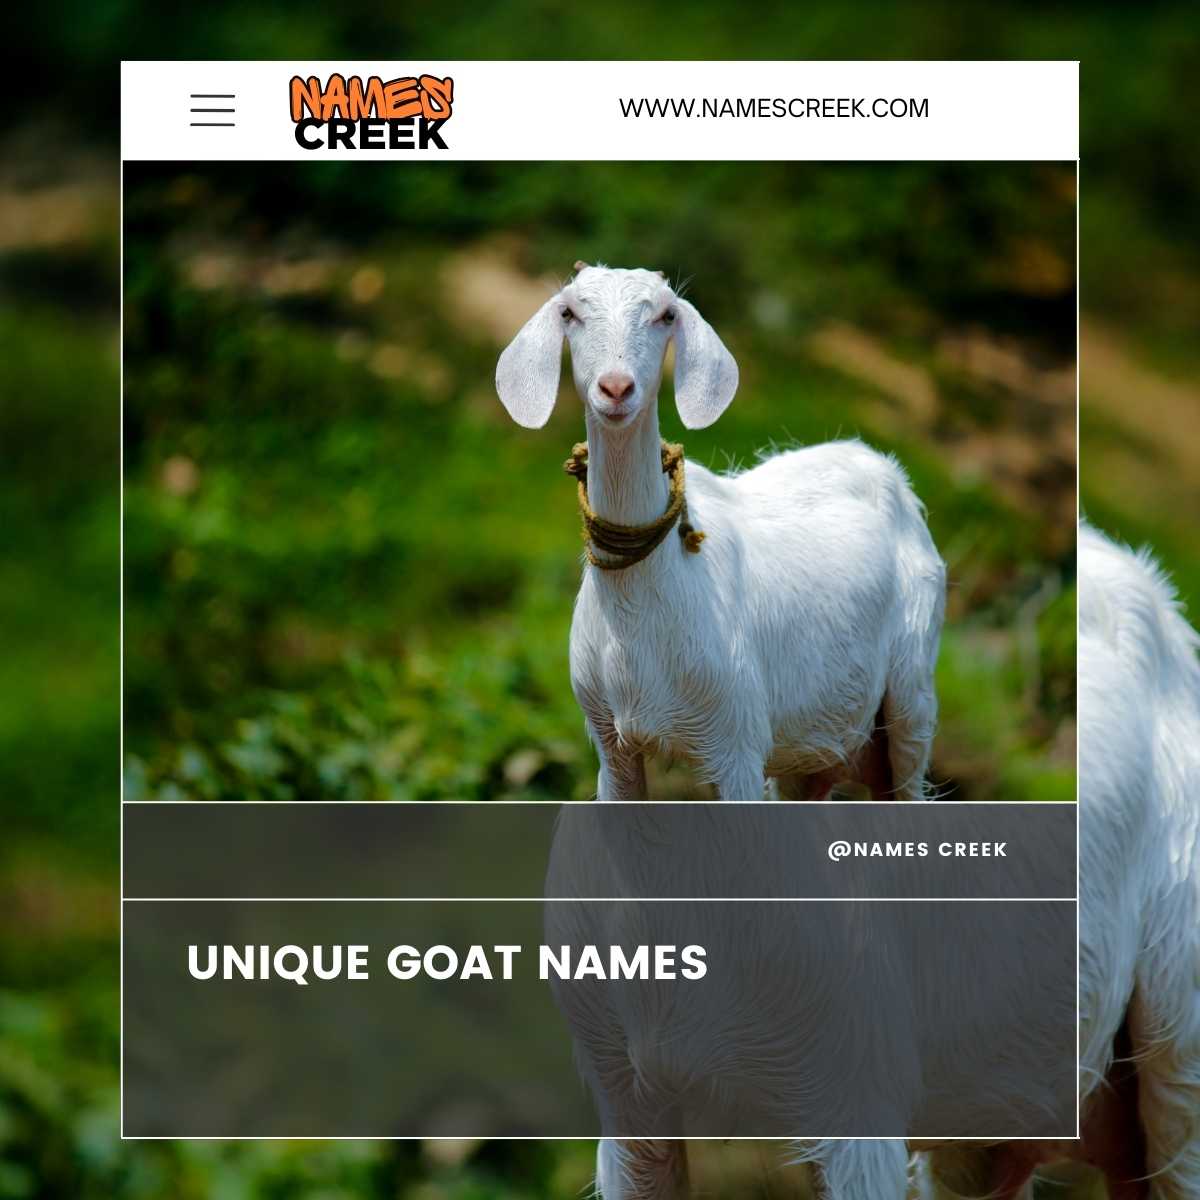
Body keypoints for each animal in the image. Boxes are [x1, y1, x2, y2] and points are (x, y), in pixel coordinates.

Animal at [495, 264, 946, 802]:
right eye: (569, 311)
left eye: (666, 314)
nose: (616, 388)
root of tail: (882, 464)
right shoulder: (610, 742)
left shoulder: (737, 740)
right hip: (810, 751)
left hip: (912, 695)